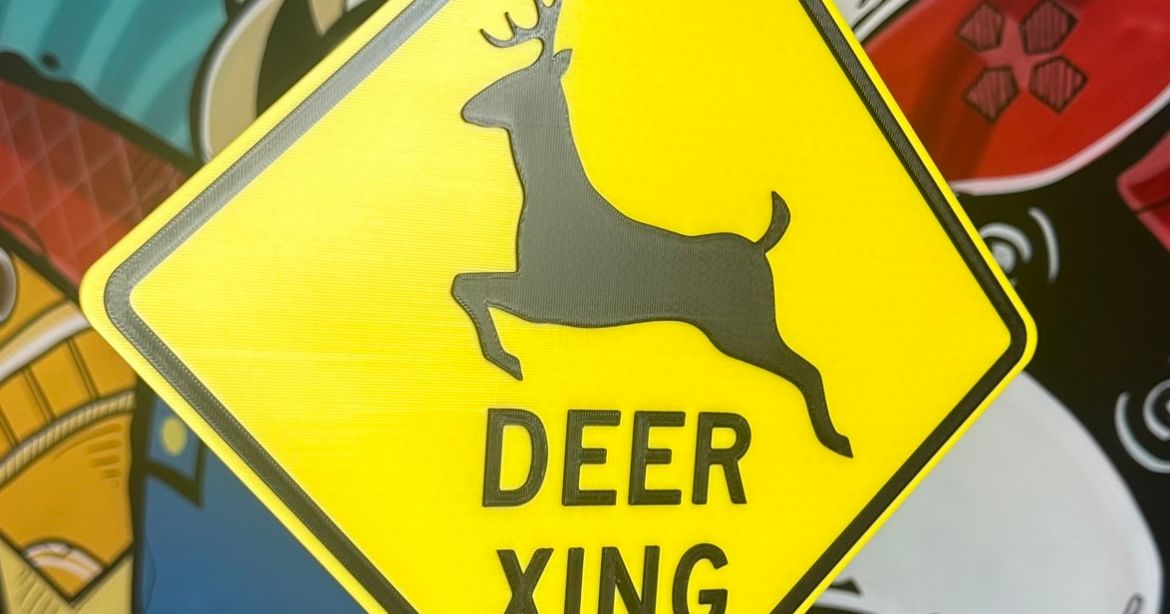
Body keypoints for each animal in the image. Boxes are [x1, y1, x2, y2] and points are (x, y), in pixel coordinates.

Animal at [451, 0, 852, 457]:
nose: (468, 108)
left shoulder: (547, 296)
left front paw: (509, 361)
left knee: (809, 369)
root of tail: (759, 246)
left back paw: (837, 441)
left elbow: (467, 283)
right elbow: (468, 283)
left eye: (517, 80)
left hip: (745, 327)